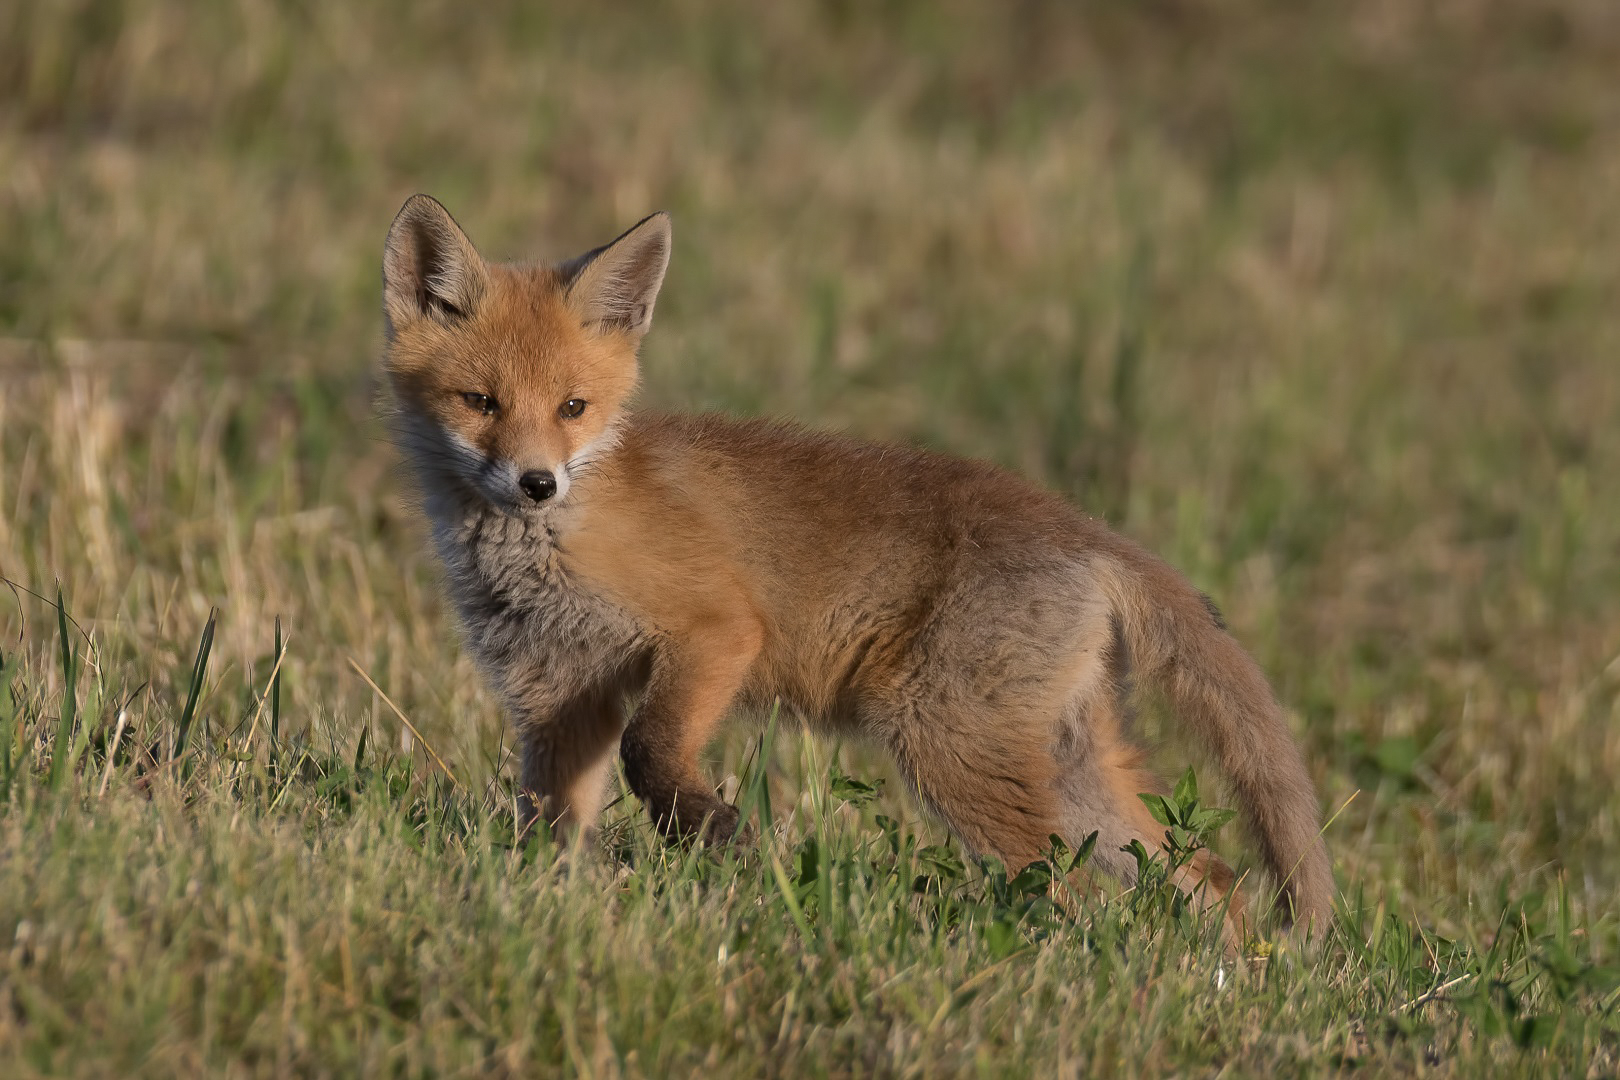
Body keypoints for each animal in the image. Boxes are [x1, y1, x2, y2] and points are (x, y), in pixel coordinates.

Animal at [382, 191, 1341, 932]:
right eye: (481, 402)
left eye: (573, 407)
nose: (536, 483)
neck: (554, 548)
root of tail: (1087, 530)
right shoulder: (554, 697)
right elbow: (549, 827)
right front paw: (540, 908)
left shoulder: (714, 632)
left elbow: (649, 752)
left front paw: (712, 831)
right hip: (1067, 767)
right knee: (1209, 879)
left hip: (949, 745)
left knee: (1074, 891)